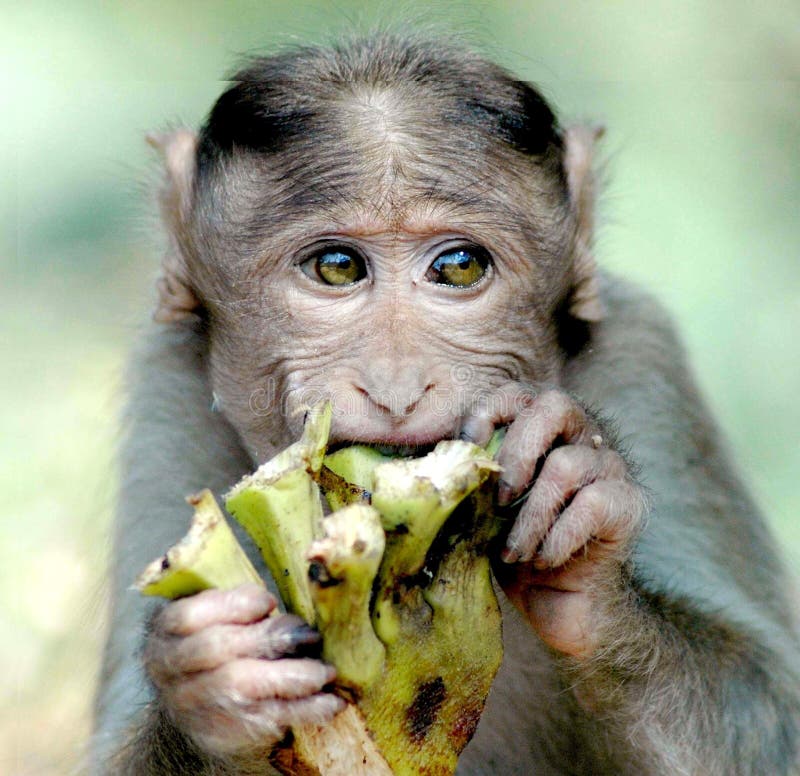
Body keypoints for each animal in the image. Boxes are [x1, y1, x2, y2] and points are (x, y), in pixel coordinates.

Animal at [92, 34, 800, 775]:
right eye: (337, 267)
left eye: (459, 266)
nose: (398, 385)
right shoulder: (166, 390)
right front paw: (211, 679)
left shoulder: (646, 359)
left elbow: (776, 710)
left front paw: (582, 504)